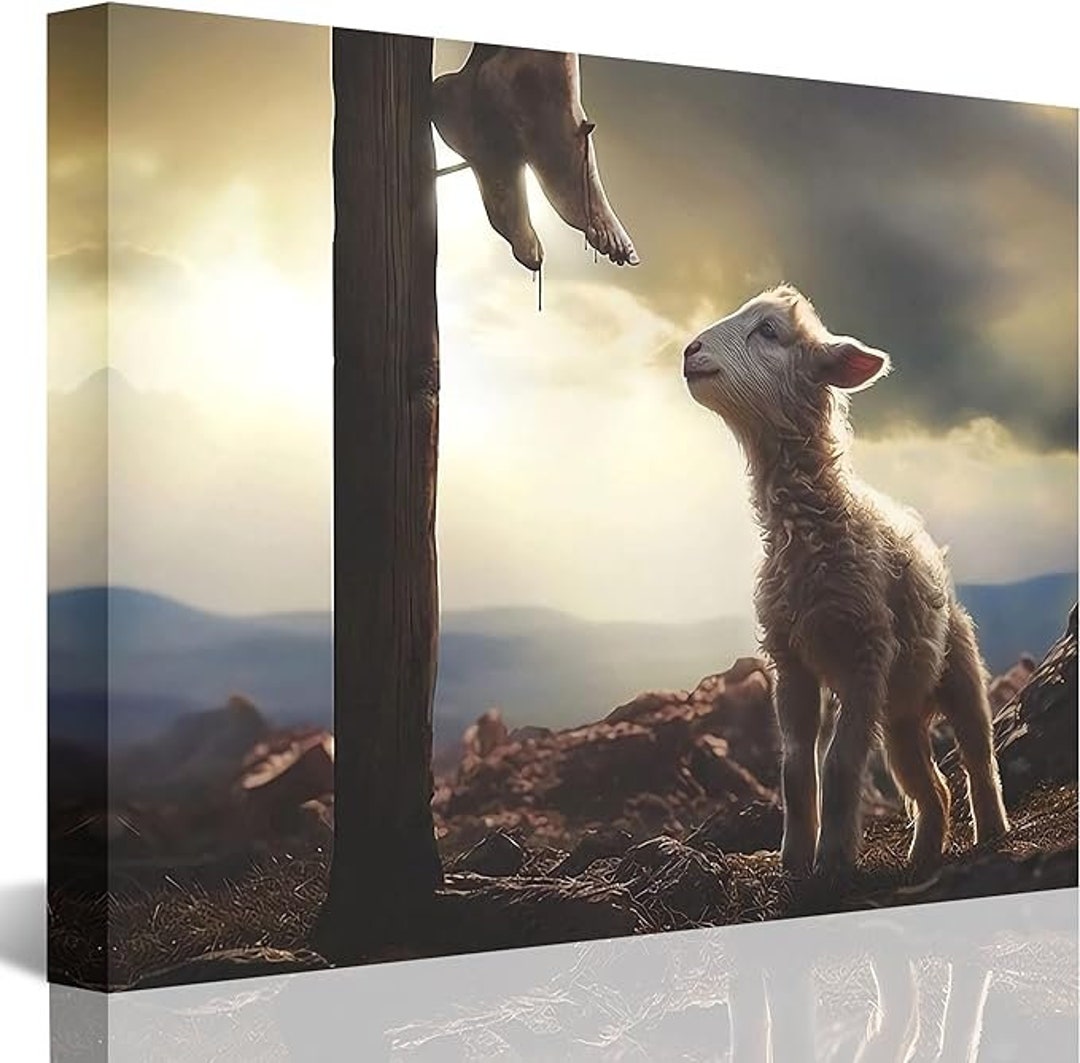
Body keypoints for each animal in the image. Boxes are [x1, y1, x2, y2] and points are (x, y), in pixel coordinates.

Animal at [682, 284, 1009, 876]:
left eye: (769, 331)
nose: (689, 351)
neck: (814, 528)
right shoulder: (790, 661)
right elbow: (794, 768)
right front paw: (794, 858)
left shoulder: (864, 656)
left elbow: (837, 764)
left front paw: (832, 860)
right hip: (900, 713)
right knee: (931, 785)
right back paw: (923, 852)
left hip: (957, 669)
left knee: (977, 755)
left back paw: (992, 833)